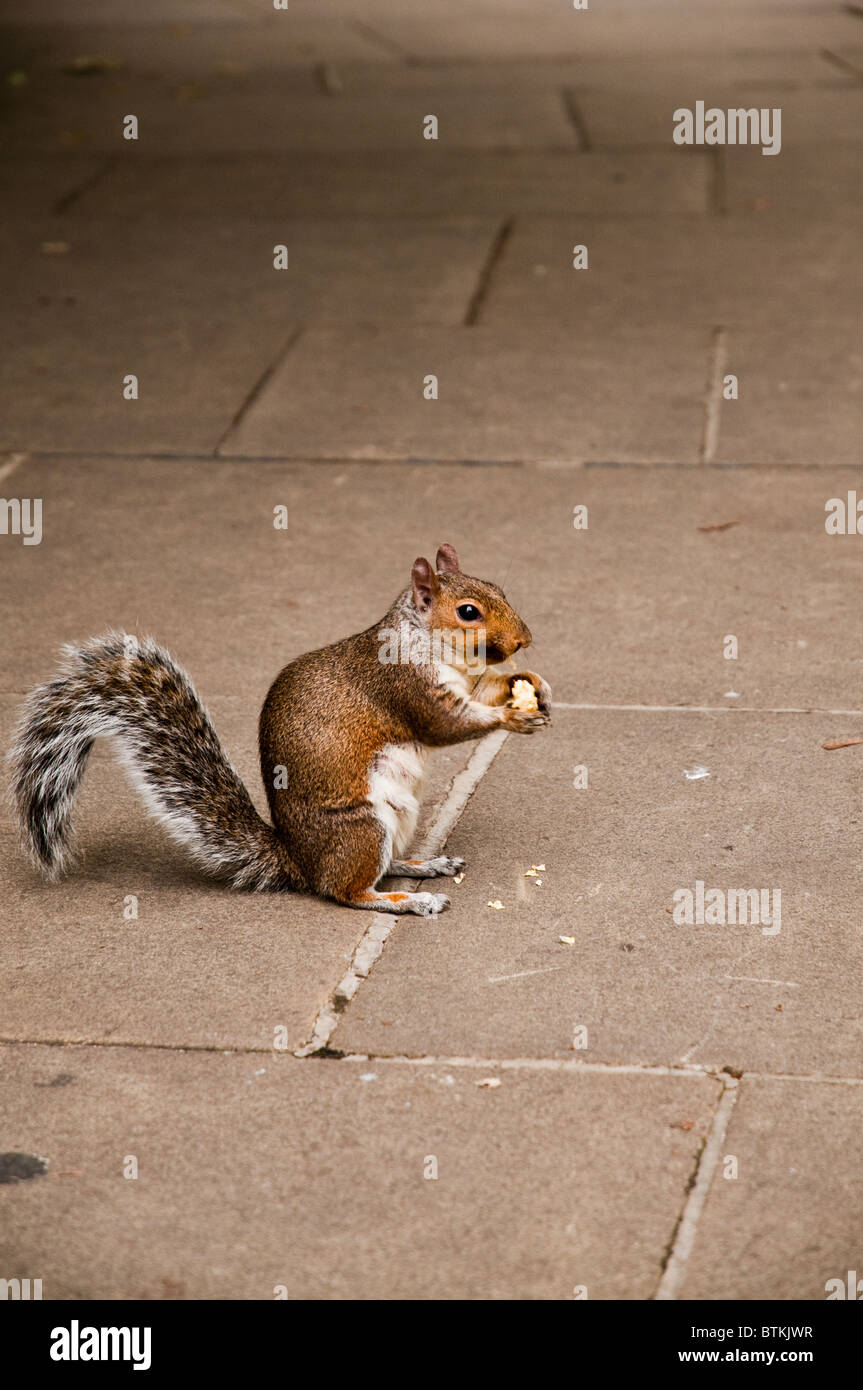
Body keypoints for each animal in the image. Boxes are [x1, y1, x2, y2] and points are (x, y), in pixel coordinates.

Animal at [9, 544, 551, 917]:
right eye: (468, 612)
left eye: (499, 590)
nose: (525, 639)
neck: (428, 644)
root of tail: (296, 859)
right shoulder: (404, 686)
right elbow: (445, 724)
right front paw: (513, 717)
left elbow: (484, 693)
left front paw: (531, 685)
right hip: (361, 826)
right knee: (346, 891)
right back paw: (408, 901)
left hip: (398, 819)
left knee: (383, 866)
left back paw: (422, 867)